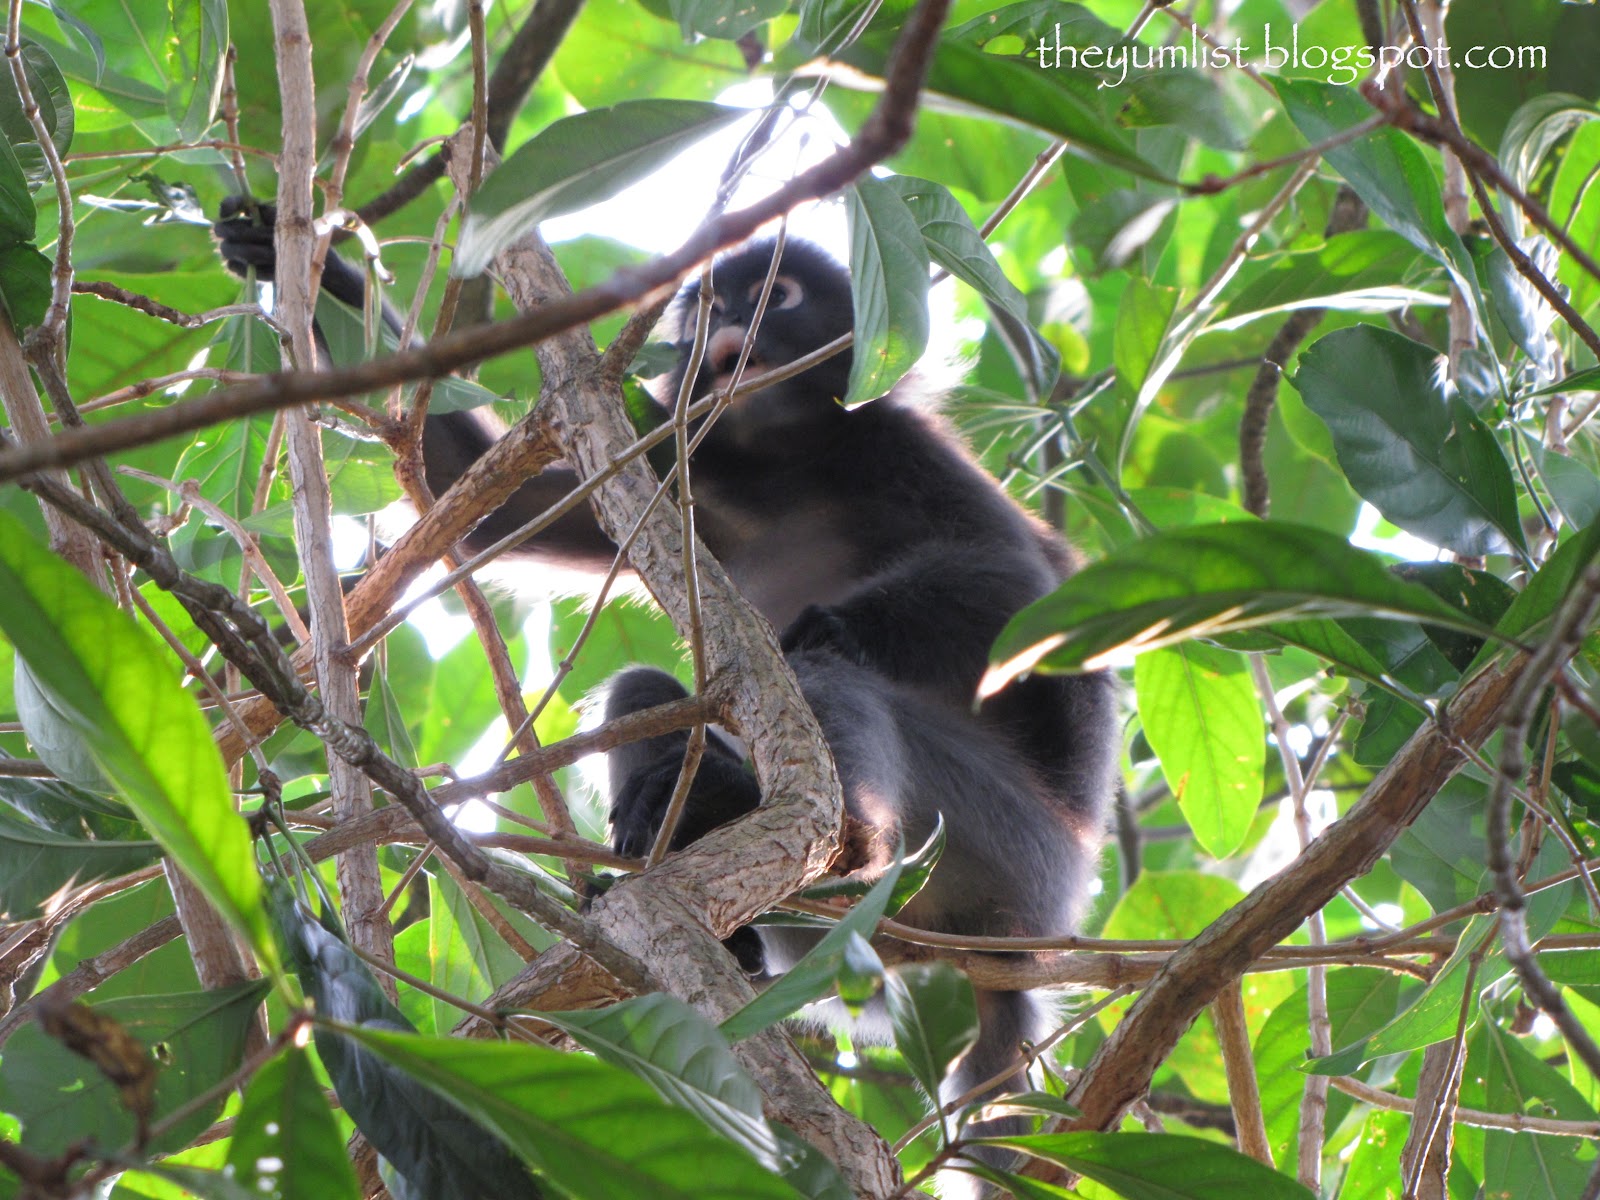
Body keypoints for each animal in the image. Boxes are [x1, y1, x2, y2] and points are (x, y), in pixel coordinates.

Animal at [214, 202, 1120, 1193]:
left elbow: (1020, 593)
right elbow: (501, 506)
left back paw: (836, 837)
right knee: (647, 687)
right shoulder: (693, 468)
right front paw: (313, 273)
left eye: (777, 296)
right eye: (713, 304)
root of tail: (1030, 941)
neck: (788, 460)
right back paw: (703, 860)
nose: (728, 330)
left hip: (1008, 846)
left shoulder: (895, 444)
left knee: (833, 683)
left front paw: (816, 624)